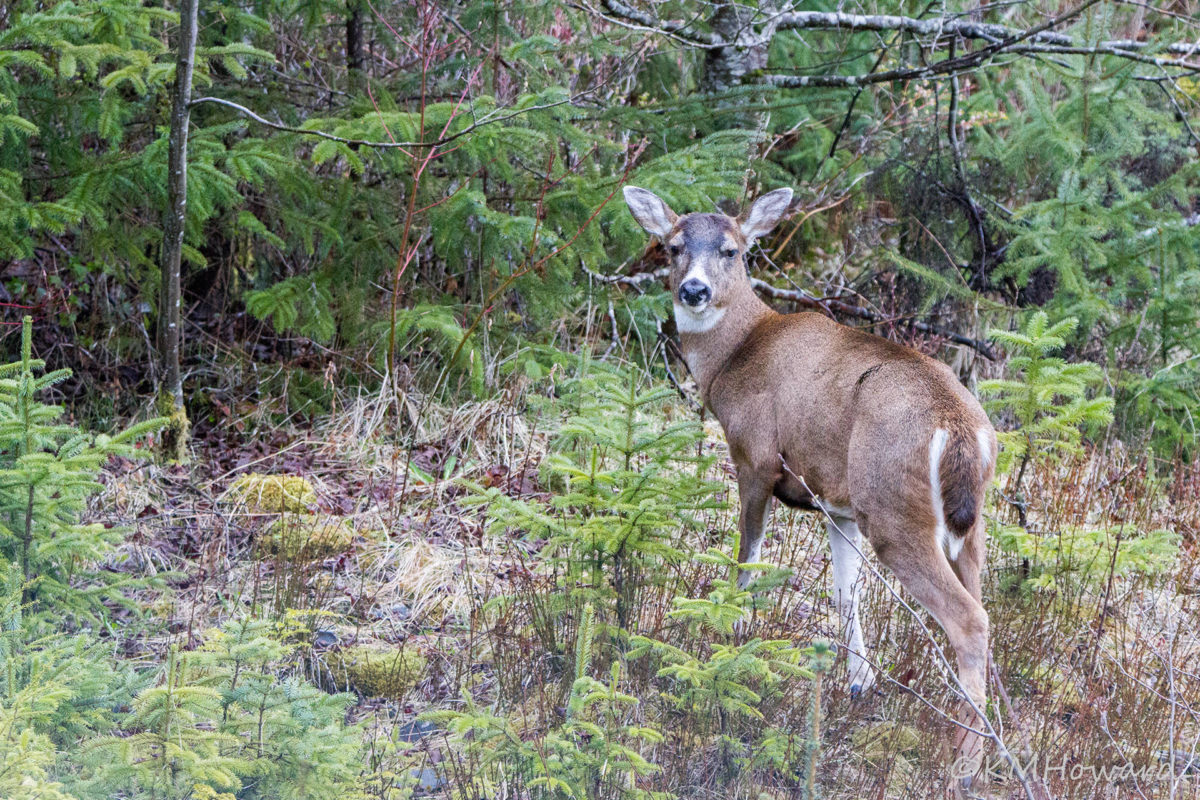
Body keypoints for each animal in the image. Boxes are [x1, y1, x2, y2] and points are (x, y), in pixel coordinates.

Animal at [624, 185, 997, 777]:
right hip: (968, 524)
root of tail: (961, 430)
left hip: (894, 510)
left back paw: (966, 763)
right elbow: (845, 593)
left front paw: (730, 639)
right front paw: (860, 682)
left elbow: (747, 557)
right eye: (673, 245)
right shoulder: (837, 505)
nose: (694, 290)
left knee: (970, 620)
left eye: (732, 250)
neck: (736, 354)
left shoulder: (755, 454)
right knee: (982, 604)